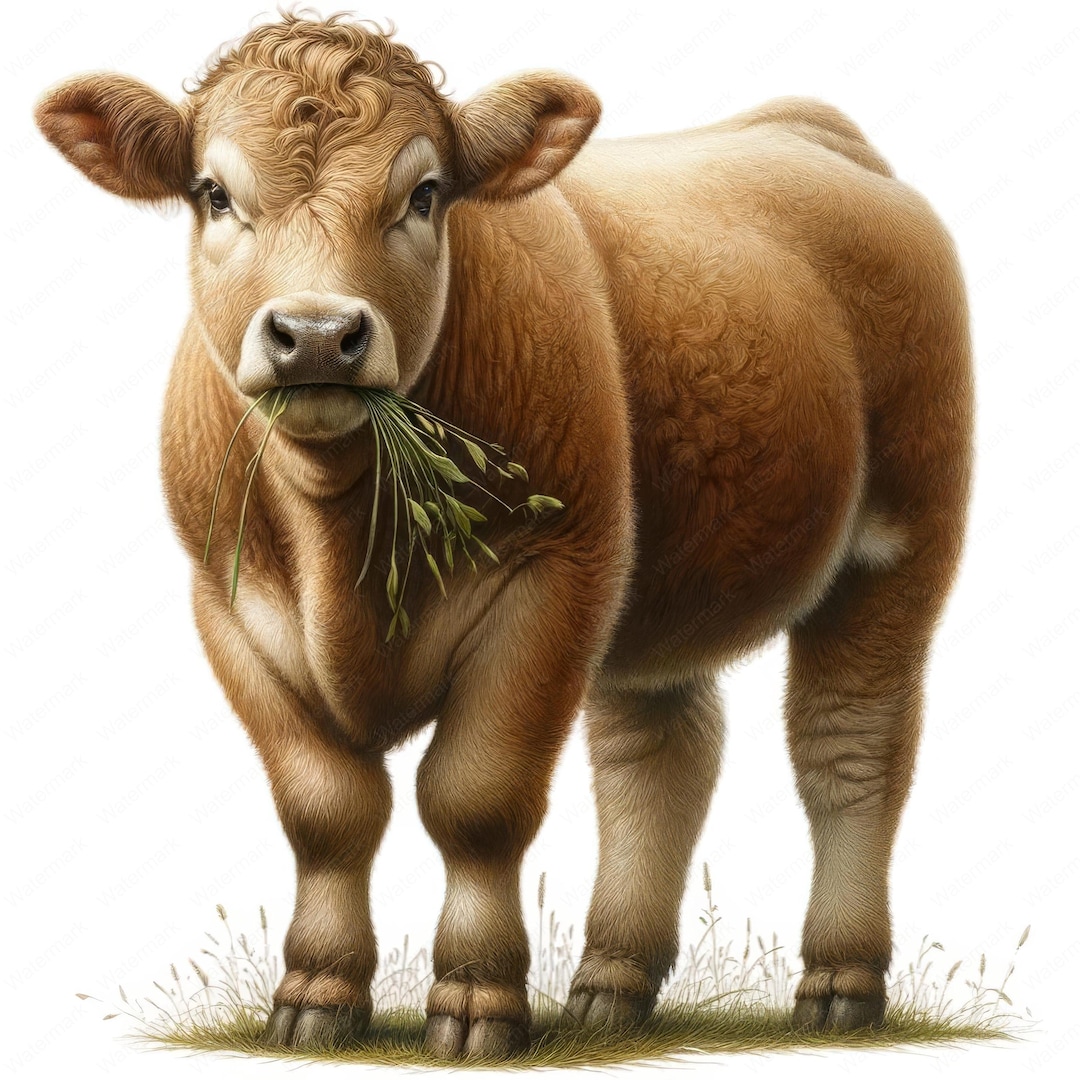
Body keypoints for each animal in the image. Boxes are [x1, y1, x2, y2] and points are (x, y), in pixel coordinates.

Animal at [35, 11, 972, 1061]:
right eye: (213, 193)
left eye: (425, 193)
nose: (316, 335)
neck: (338, 529)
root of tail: (809, 131)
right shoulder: (231, 608)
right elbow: (326, 809)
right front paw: (317, 997)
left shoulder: (552, 582)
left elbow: (475, 798)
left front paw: (477, 999)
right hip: (652, 587)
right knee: (659, 756)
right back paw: (611, 984)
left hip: (899, 541)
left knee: (850, 746)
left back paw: (840, 980)